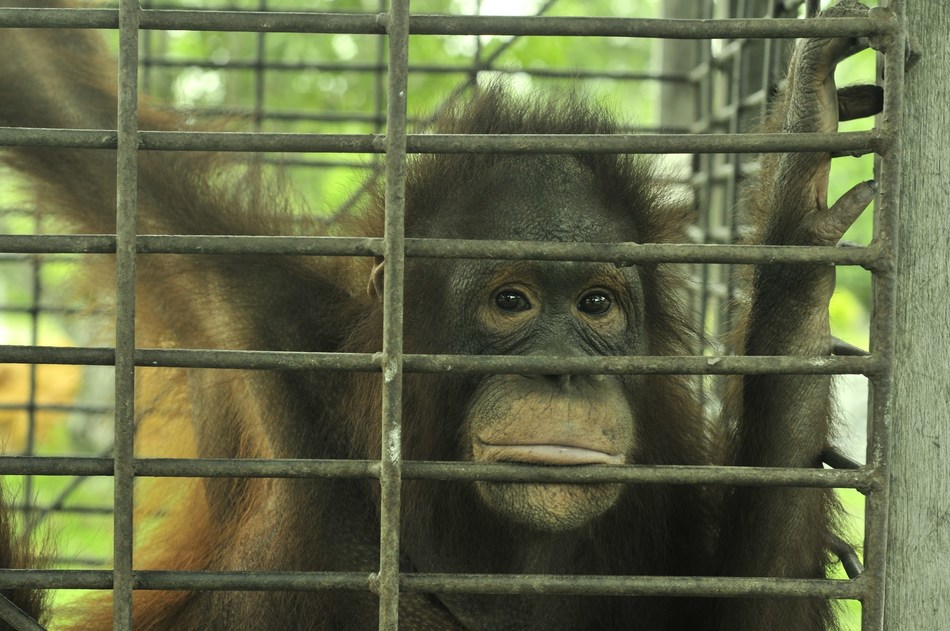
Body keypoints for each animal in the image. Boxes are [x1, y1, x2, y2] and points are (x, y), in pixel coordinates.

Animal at [0, 1, 881, 629]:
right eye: (510, 301)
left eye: (596, 304)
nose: (564, 370)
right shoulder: (256, 319)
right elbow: (55, 99)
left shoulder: (665, 483)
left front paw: (799, 203)